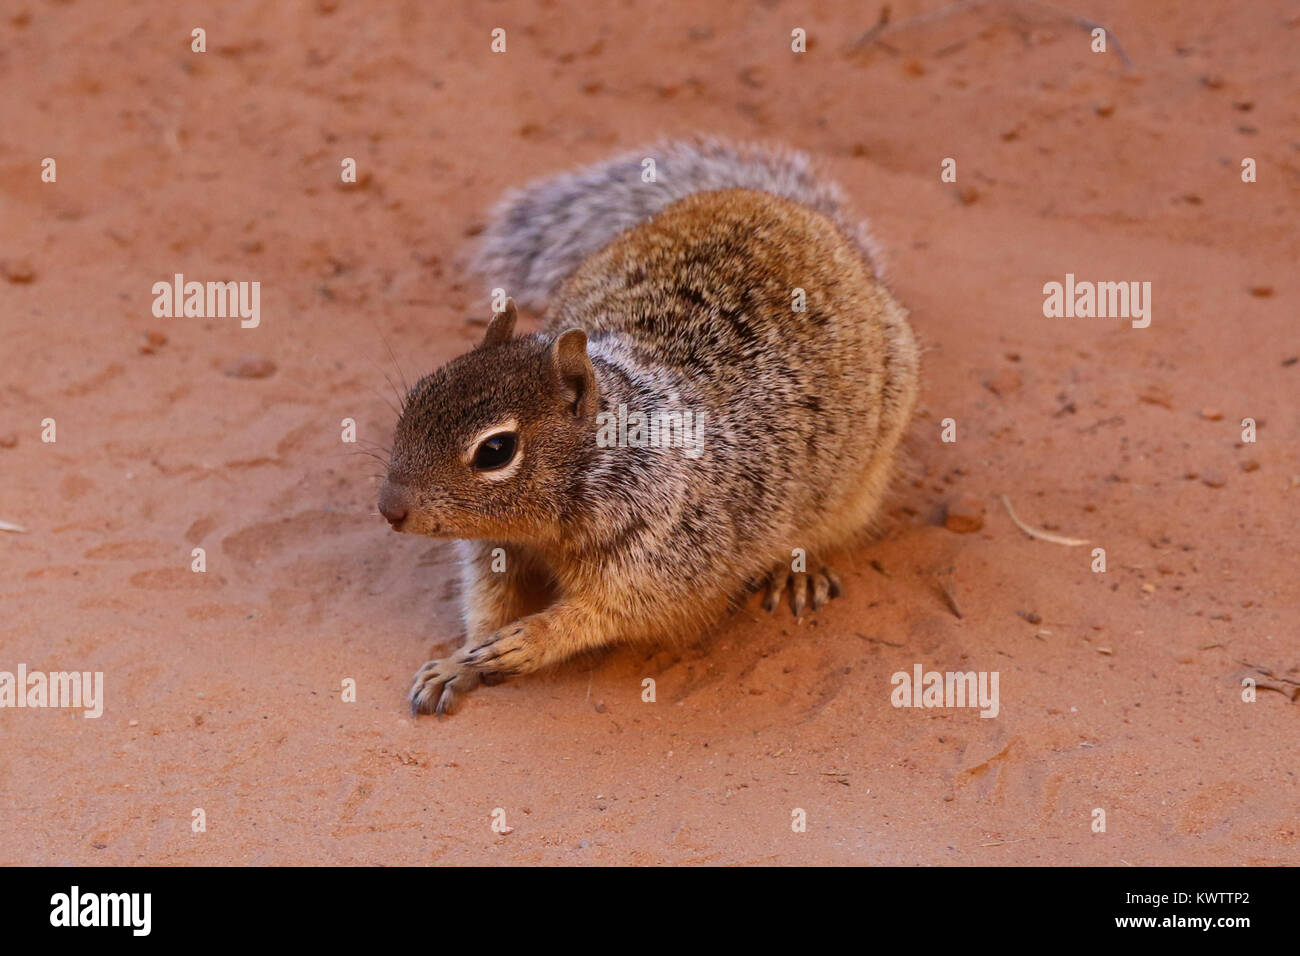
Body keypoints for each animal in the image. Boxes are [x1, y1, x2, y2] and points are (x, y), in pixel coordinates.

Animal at [378, 138, 920, 716]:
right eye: (418, 393)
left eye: (496, 450)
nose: (389, 509)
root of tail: (791, 209)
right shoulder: (495, 550)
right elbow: (487, 602)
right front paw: (457, 663)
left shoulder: (671, 555)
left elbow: (616, 613)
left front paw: (531, 639)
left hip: (860, 482)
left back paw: (797, 569)